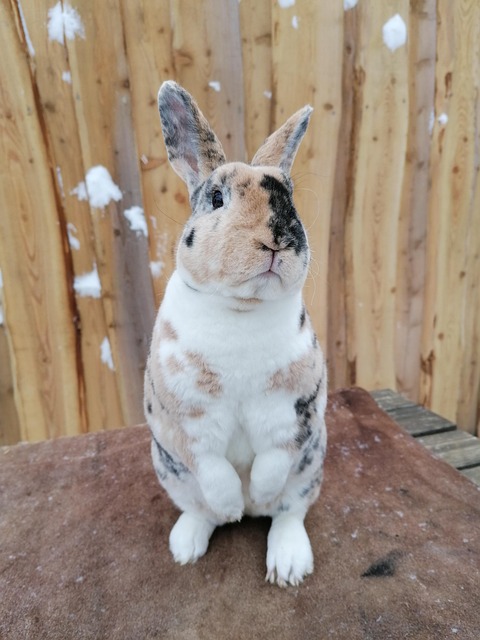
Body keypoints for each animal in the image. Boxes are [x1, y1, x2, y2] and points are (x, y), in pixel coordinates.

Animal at [144, 80, 327, 587]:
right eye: (216, 199)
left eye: (290, 197)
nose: (278, 238)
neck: (242, 308)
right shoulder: (187, 419)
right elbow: (213, 469)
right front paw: (230, 504)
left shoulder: (294, 412)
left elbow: (272, 459)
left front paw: (258, 491)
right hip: (170, 473)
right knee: (201, 508)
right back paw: (194, 540)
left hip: (311, 469)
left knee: (287, 512)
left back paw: (285, 560)